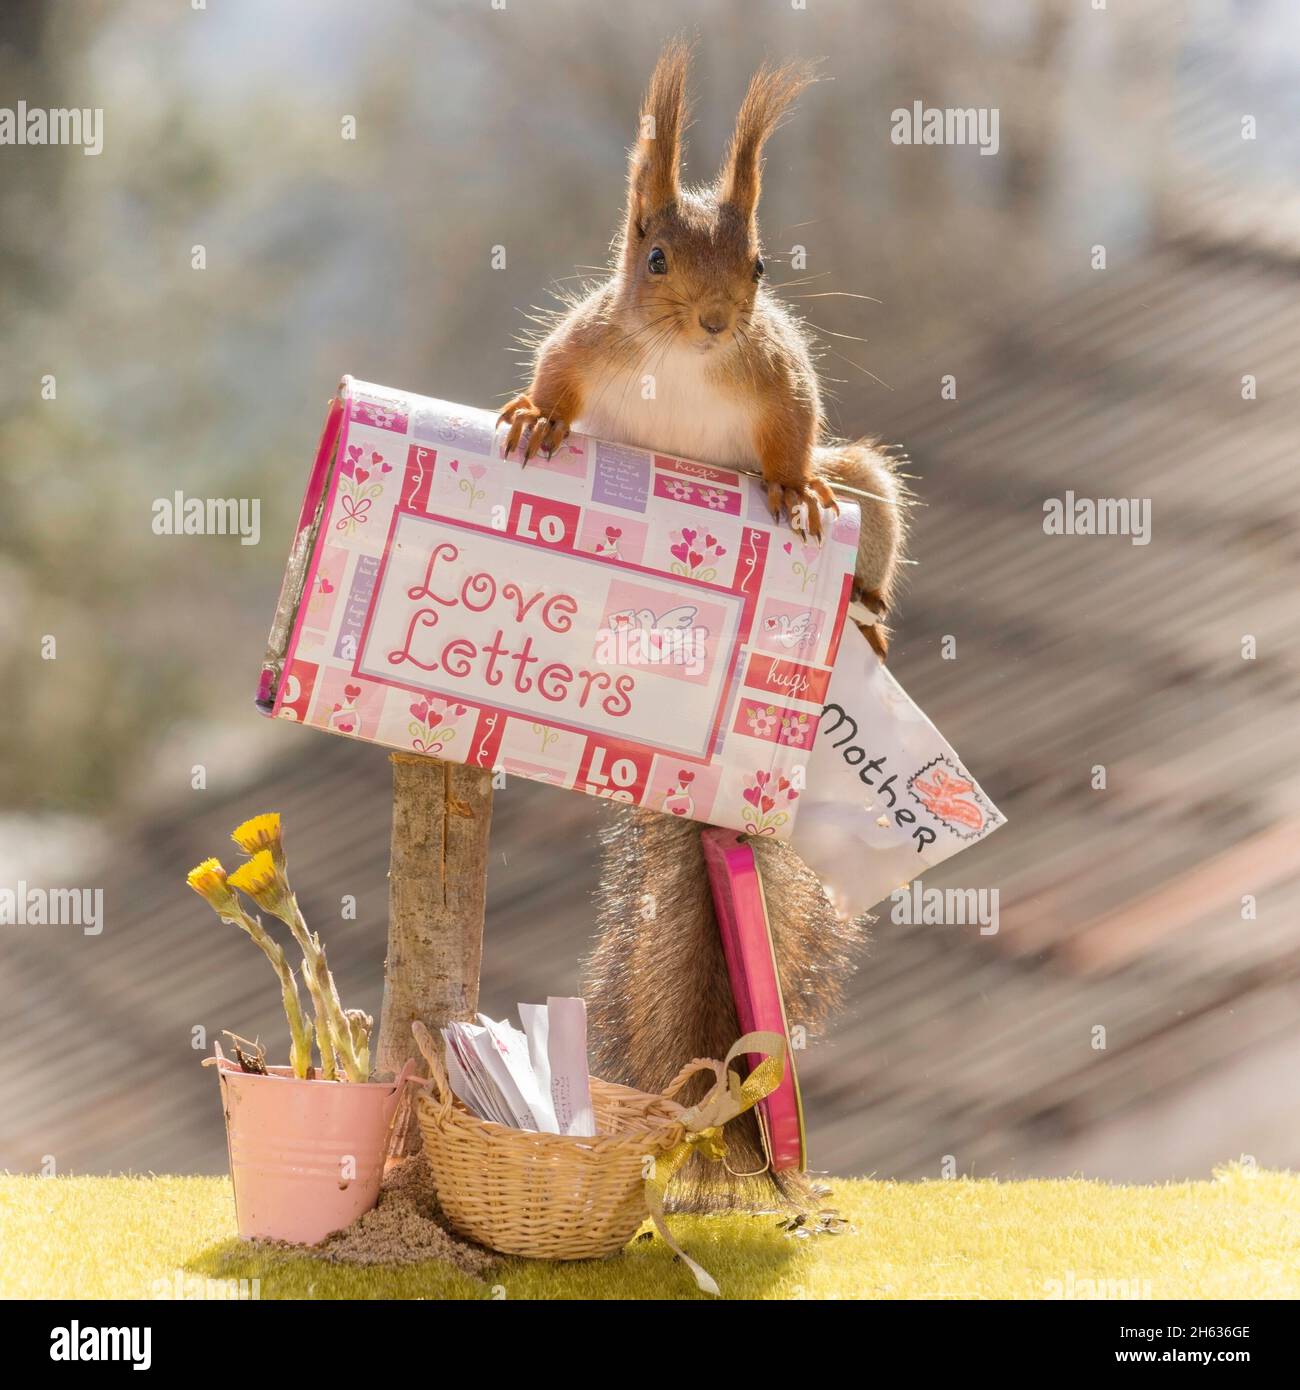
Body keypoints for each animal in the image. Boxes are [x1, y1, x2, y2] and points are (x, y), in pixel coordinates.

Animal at [499, 42, 907, 1210]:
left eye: (762, 266)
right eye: (654, 258)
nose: (721, 321)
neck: (681, 362)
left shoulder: (778, 377)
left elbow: (795, 430)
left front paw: (790, 490)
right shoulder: (588, 338)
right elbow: (554, 377)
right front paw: (536, 417)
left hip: (870, 490)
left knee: (865, 504)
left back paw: (864, 613)